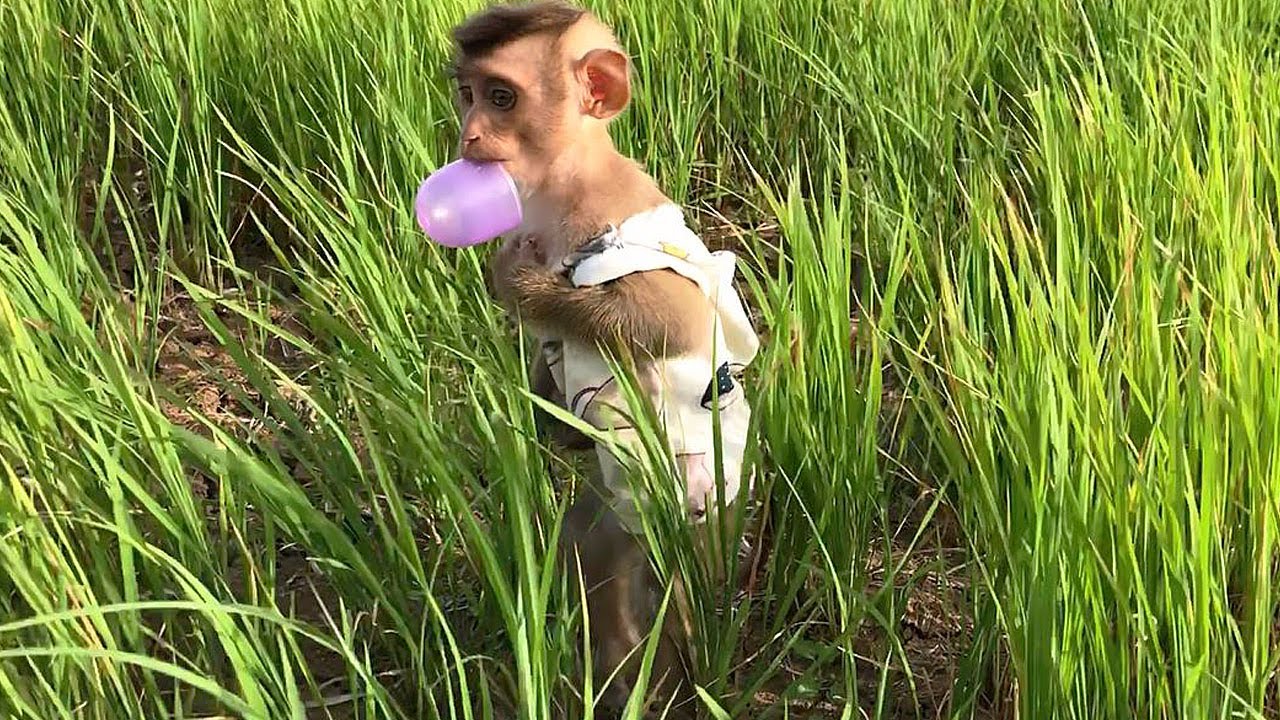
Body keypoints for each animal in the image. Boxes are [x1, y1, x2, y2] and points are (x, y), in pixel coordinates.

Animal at [447, 1, 761, 713]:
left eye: (502, 98)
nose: (470, 136)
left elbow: (673, 323)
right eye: (468, 93)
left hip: (695, 498)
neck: (566, 181)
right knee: (592, 543)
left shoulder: (612, 220)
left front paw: (519, 283)